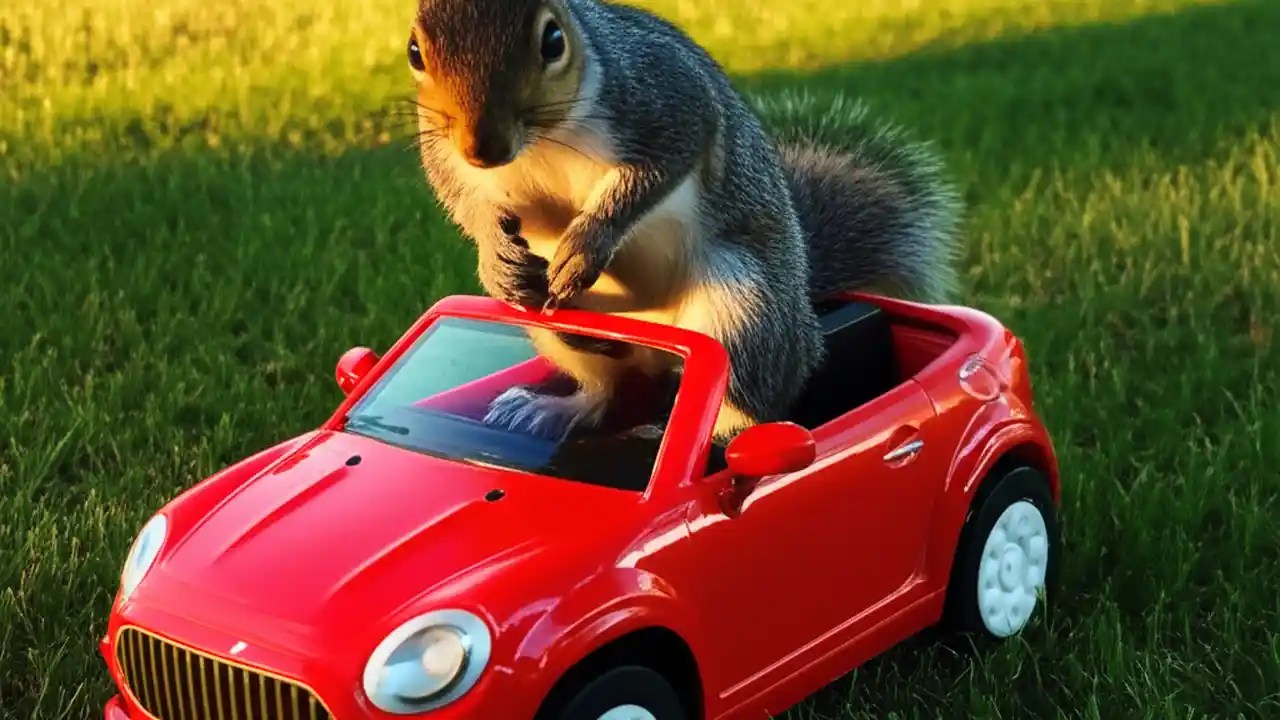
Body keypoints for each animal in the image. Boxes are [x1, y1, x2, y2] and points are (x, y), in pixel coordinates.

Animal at [406, 0, 960, 444]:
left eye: (553, 41)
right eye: (414, 51)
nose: (483, 148)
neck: (543, 139)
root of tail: (805, 321)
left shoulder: (666, 100)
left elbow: (651, 174)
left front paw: (586, 243)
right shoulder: (445, 154)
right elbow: (466, 205)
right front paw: (495, 259)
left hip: (740, 308)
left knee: (749, 404)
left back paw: (706, 434)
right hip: (553, 326)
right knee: (603, 388)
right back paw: (550, 408)